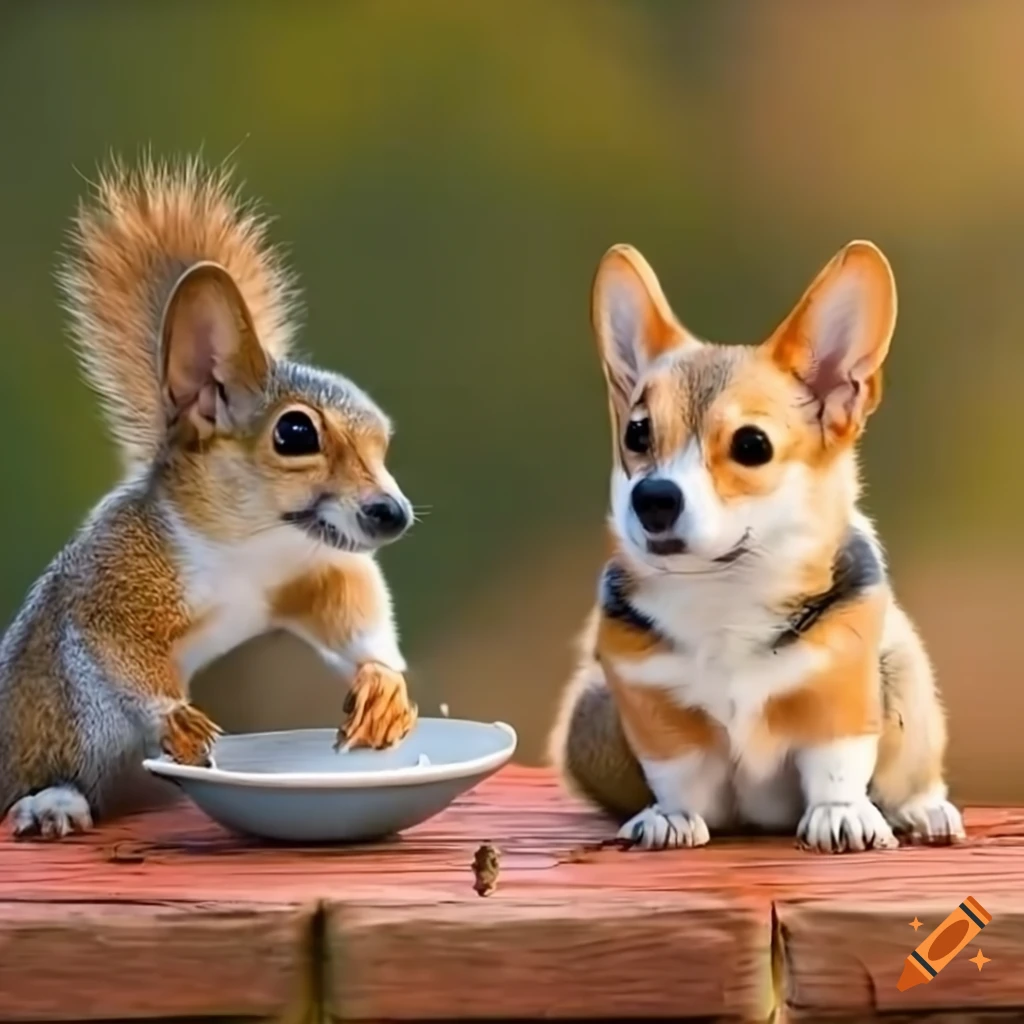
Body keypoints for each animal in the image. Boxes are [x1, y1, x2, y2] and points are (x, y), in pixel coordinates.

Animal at [0, 157, 418, 839]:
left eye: (383, 441)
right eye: (295, 433)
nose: (392, 515)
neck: (247, 545)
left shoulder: (314, 569)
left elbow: (353, 603)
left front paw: (384, 685)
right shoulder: (111, 577)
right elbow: (112, 644)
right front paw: (176, 717)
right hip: (73, 721)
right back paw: (52, 802)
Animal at [548, 241, 964, 853]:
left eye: (753, 445)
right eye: (636, 434)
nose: (653, 498)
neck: (724, 589)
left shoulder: (839, 689)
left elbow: (837, 762)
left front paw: (841, 814)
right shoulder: (652, 703)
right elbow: (677, 772)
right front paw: (670, 817)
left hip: (907, 682)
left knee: (908, 774)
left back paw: (922, 811)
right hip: (591, 714)